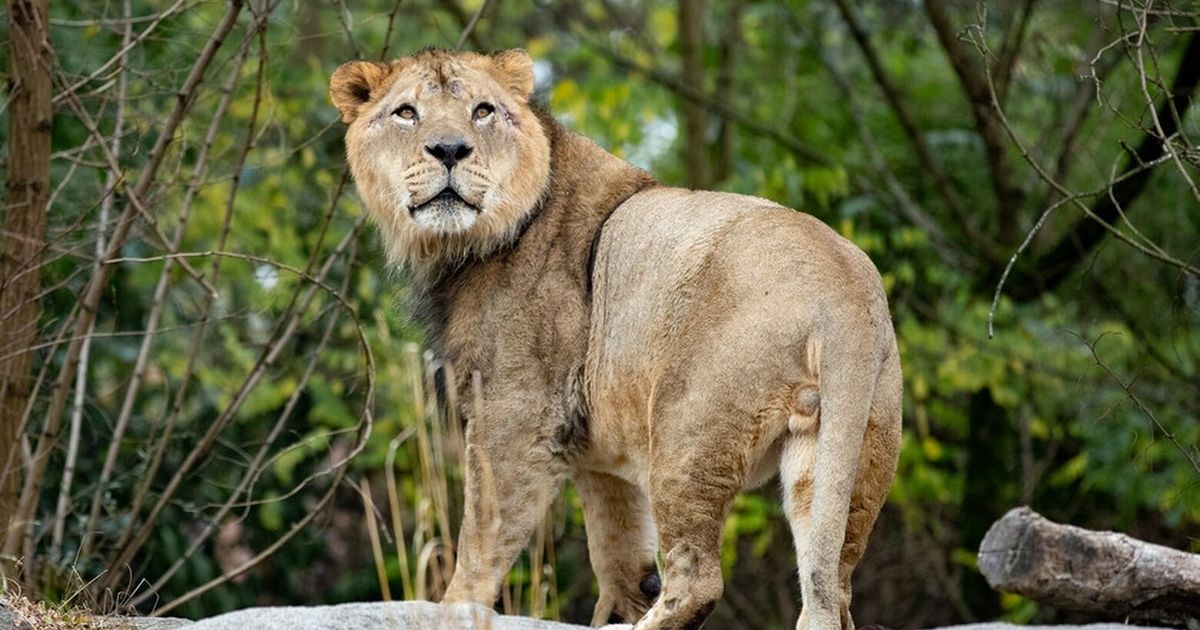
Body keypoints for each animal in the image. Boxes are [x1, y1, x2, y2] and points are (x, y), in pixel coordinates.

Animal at [330, 48, 902, 630]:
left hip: (684, 432)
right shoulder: (599, 454)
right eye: (406, 113)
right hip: (846, 453)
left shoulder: (514, 413)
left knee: (697, 579)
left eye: (482, 110)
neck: (457, 246)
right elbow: (619, 550)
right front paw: (620, 603)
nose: (449, 149)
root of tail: (842, 292)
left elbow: (482, 535)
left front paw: (453, 607)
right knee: (831, 588)